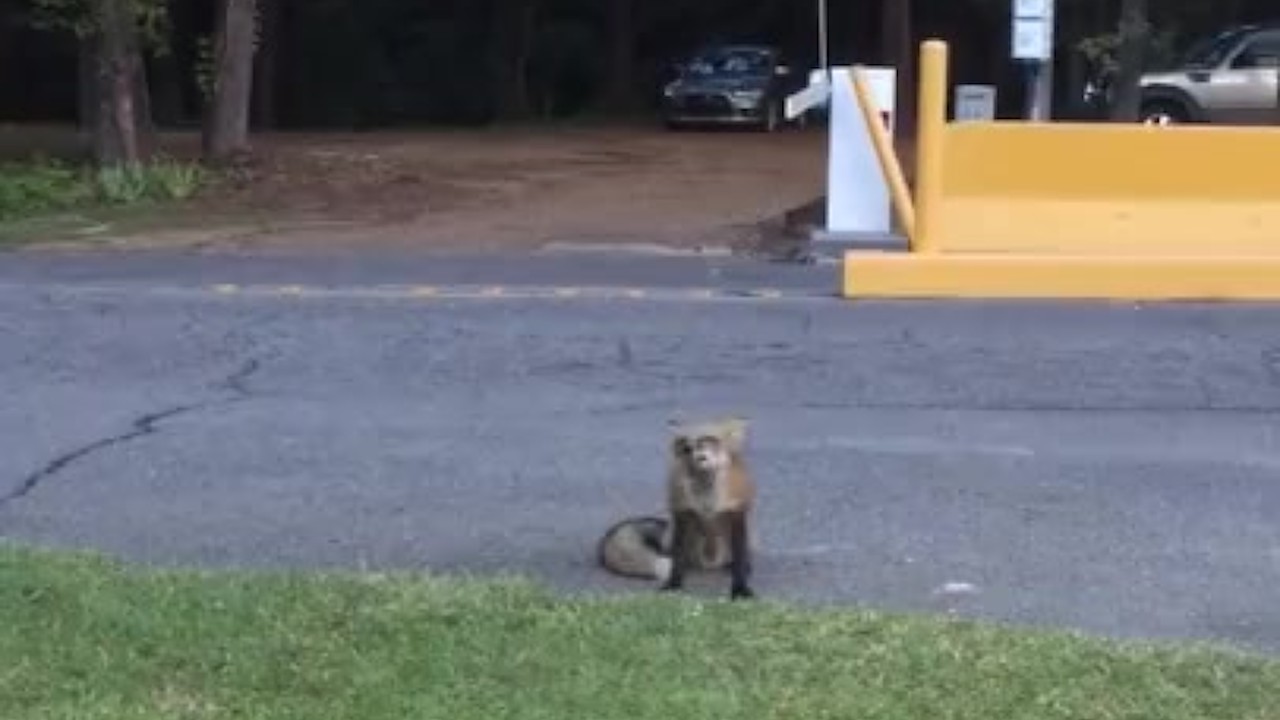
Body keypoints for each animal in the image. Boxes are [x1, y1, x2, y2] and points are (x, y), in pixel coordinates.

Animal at [596, 417, 757, 600]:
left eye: (709, 439)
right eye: (685, 443)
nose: (691, 450)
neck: (707, 500)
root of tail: (709, 565)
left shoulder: (736, 513)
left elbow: (739, 563)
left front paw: (740, 590)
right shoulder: (682, 512)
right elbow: (677, 561)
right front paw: (673, 586)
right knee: (677, 557)